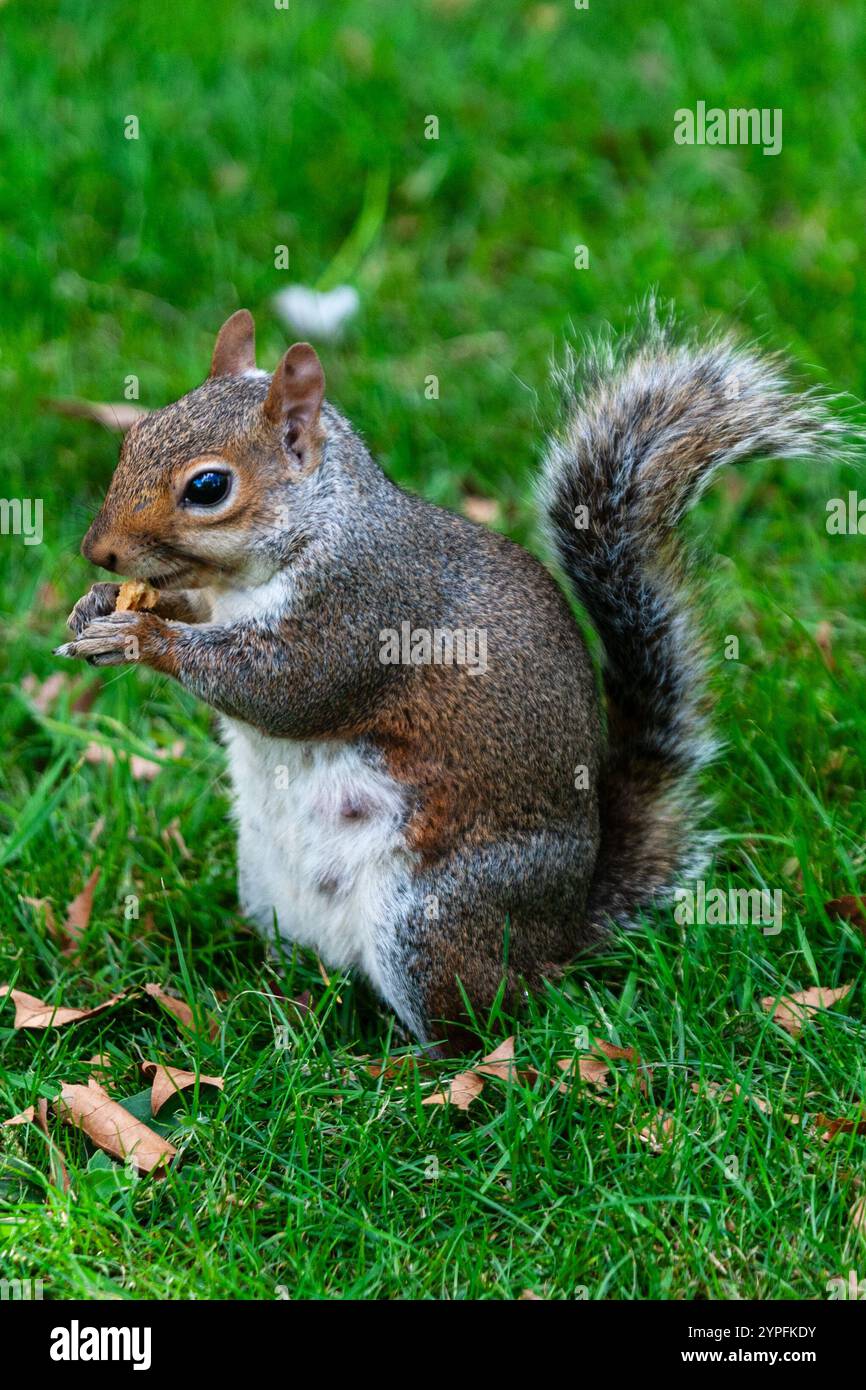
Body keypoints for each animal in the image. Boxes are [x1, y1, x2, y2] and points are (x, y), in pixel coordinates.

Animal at [56, 308, 844, 1052]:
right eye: (134, 436)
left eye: (209, 486)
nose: (99, 552)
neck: (307, 532)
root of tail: (560, 937)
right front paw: (99, 607)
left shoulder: (365, 610)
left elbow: (288, 690)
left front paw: (143, 637)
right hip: (276, 892)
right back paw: (283, 998)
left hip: (431, 918)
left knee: (477, 1022)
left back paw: (402, 1067)